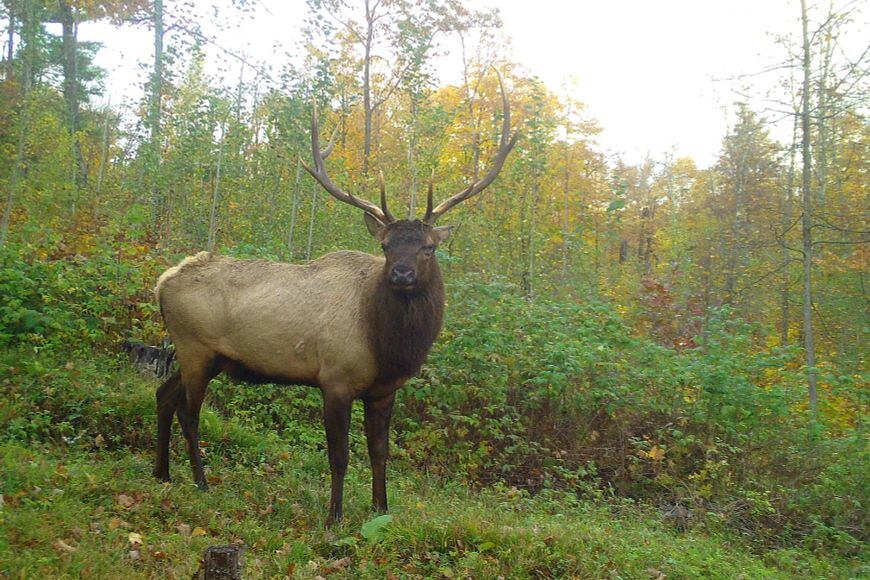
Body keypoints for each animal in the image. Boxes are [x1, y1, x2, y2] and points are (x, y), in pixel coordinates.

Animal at [152, 72, 518, 526]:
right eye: (385, 246)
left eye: (428, 248)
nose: (401, 273)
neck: (388, 346)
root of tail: (162, 282)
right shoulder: (336, 379)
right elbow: (340, 457)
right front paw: (333, 519)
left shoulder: (384, 390)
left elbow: (380, 453)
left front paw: (381, 509)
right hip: (195, 347)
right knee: (189, 410)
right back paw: (200, 481)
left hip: (211, 357)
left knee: (163, 395)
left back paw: (162, 473)